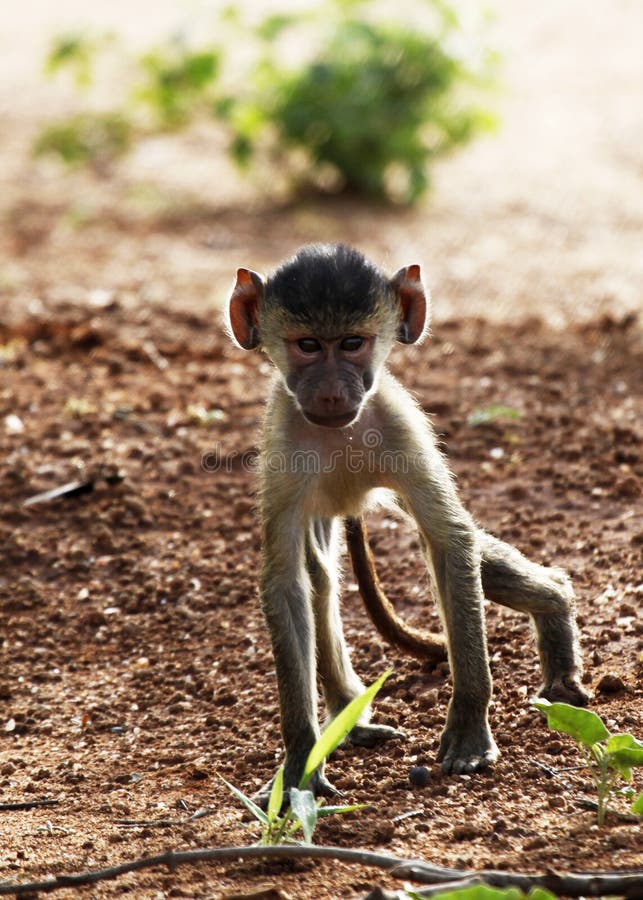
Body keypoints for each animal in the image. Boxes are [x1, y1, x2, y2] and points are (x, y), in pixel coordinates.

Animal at [227, 243, 588, 803]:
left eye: (352, 343)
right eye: (308, 345)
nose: (331, 393)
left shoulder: (399, 424)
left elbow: (449, 540)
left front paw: (468, 731)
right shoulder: (284, 446)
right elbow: (286, 583)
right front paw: (299, 765)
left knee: (471, 556)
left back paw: (555, 605)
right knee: (319, 579)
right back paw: (348, 717)